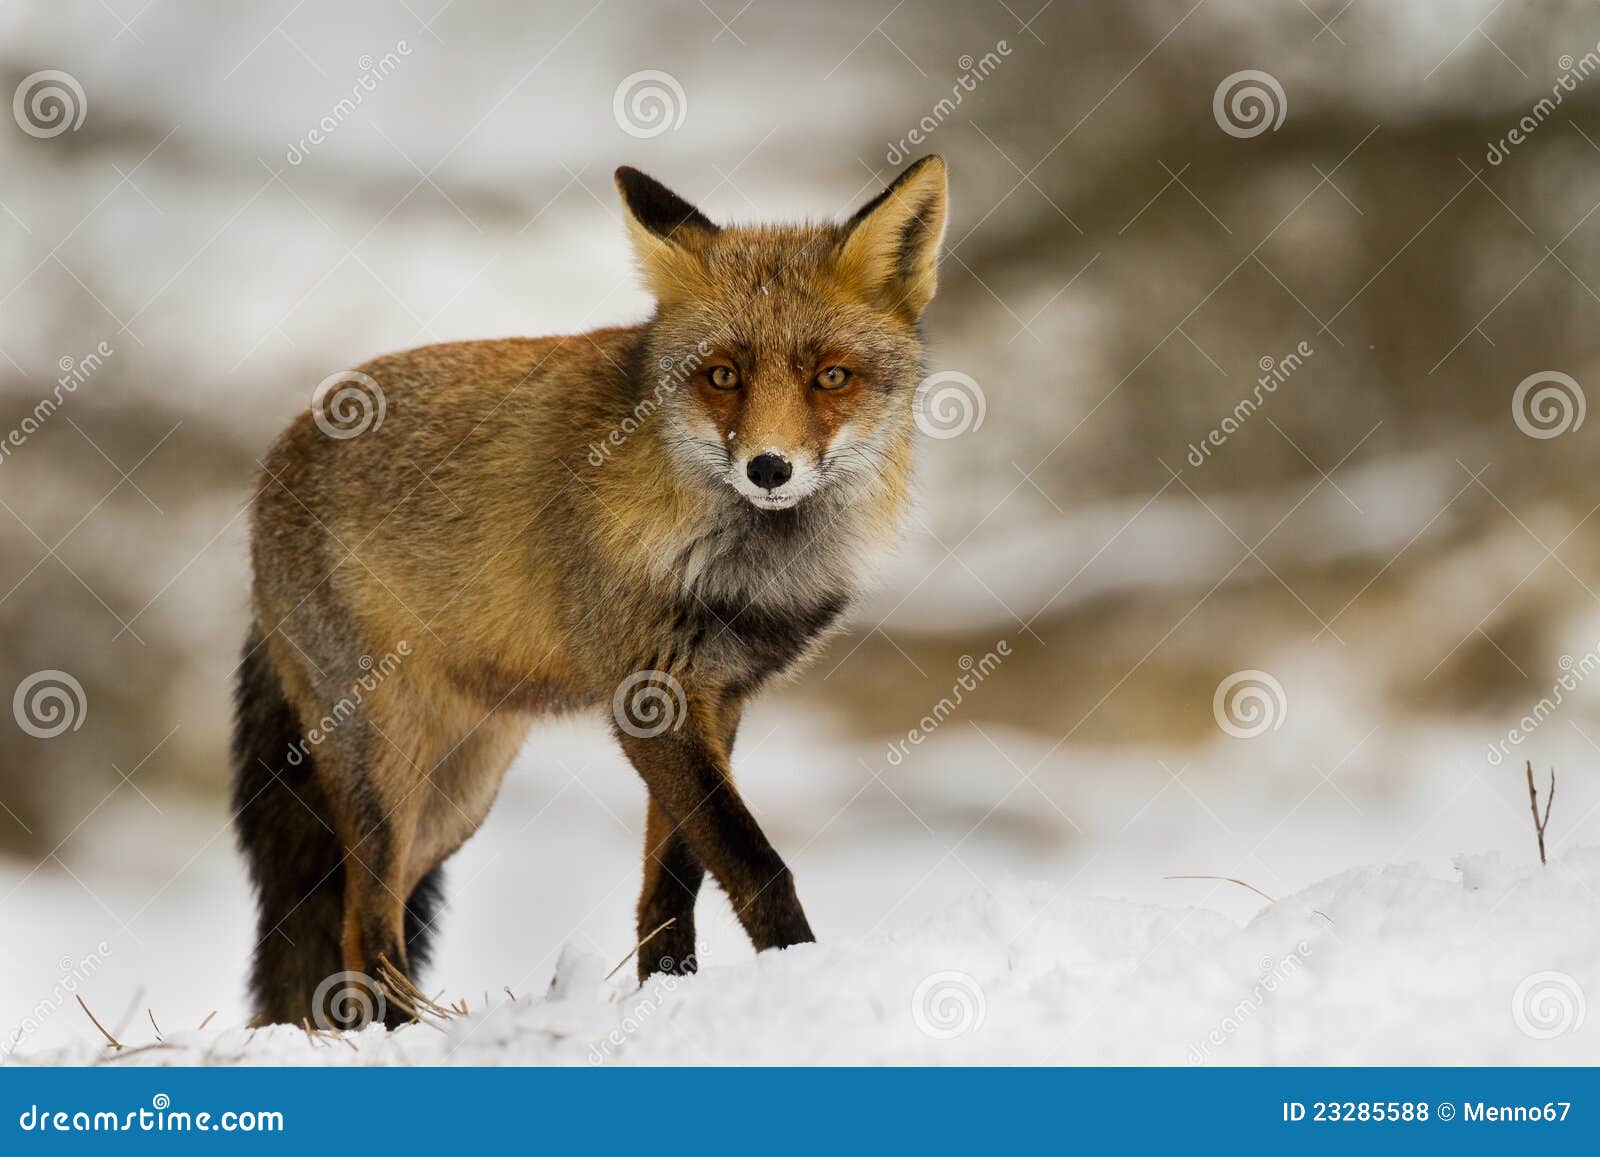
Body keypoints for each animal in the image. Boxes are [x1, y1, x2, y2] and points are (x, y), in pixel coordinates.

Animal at [231, 155, 949, 1027]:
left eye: (832, 377)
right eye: (722, 375)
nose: (769, 468)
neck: (742, 564)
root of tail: (282, 449)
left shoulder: (719, 697)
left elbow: (673, 883)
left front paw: (668, 994)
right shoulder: (652, 695)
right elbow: (754, 866)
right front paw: (798, 974)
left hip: (456, 797)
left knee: (363, 910)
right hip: (384, 765)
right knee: (365, 924)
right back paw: (397, 1034)